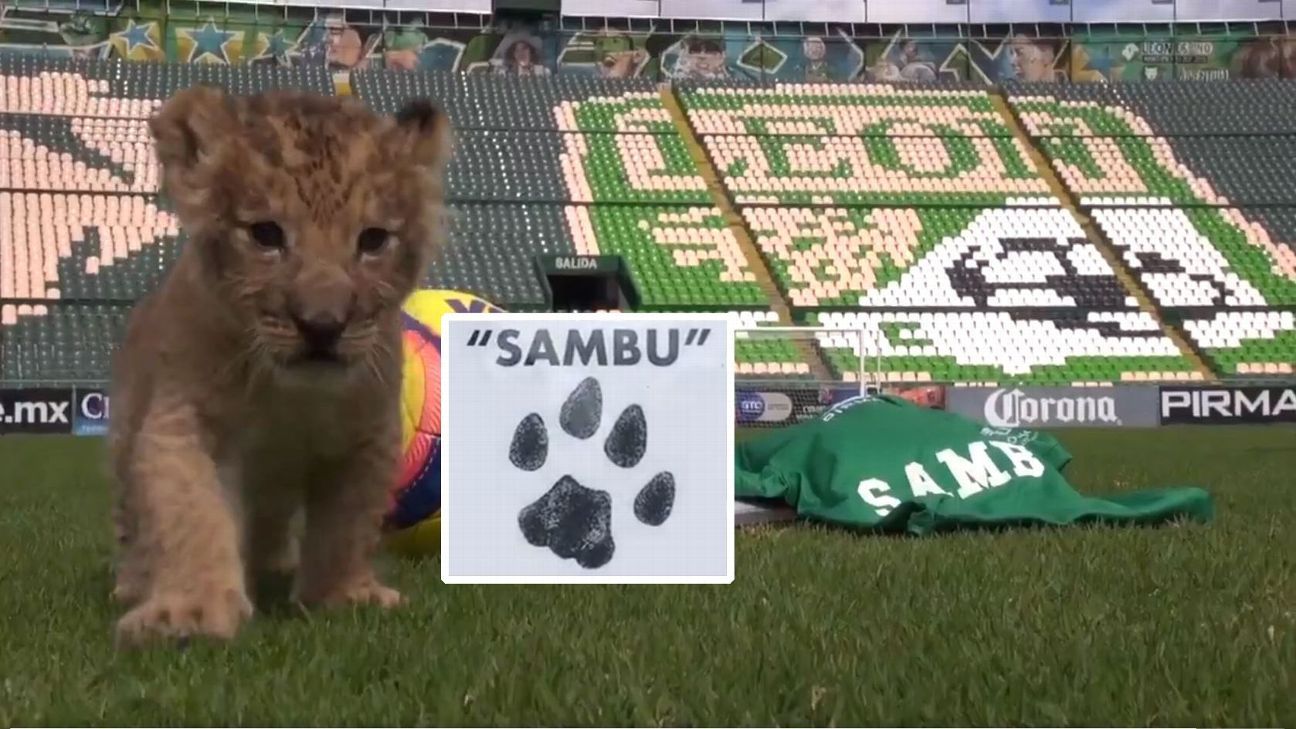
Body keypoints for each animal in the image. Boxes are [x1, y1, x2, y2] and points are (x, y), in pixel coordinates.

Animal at [107, 87, 451, 645]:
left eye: (374, 240)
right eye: (266, 234)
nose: (322, 325)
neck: (289, 397)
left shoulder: (368, 437)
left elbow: (348, 523)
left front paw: (343, 596)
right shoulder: (183, 423)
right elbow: (188, 514)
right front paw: (190, 612)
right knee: (132, 517)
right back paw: (135, 582)